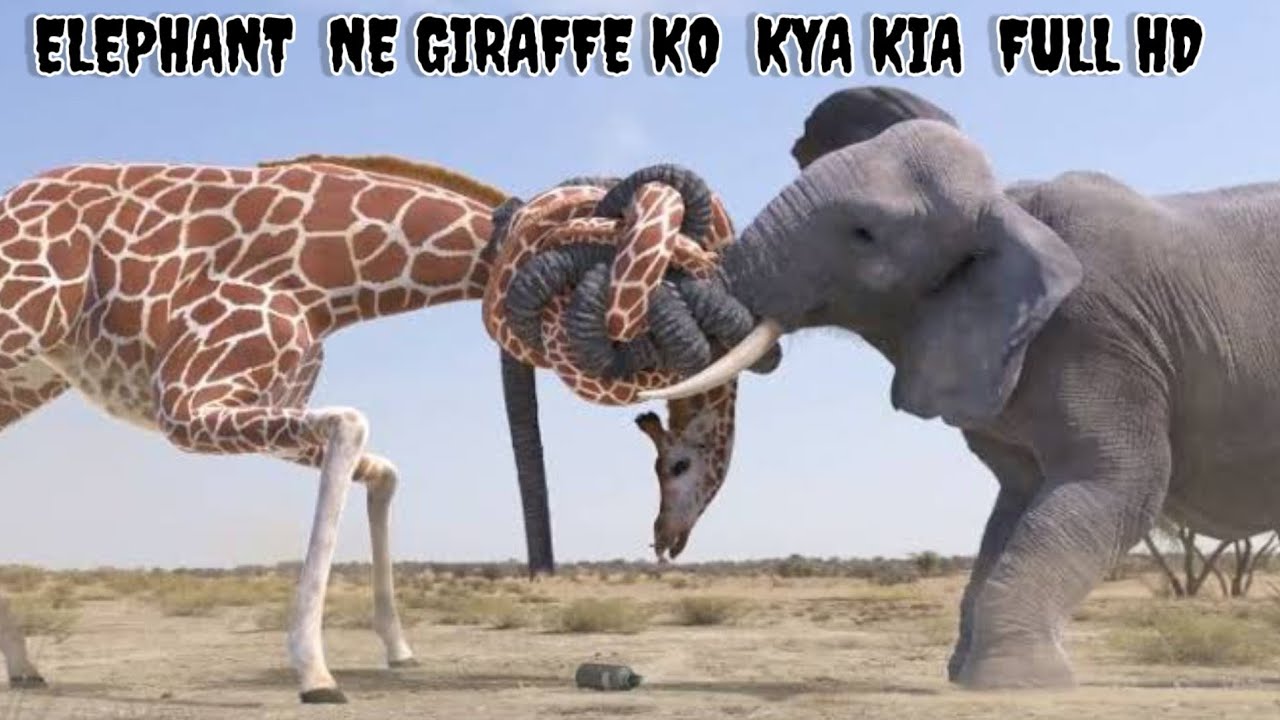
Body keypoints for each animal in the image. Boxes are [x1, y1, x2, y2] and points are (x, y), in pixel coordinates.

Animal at [0, 155, 740, 702]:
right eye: (654, 277)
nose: (669, 534)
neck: (333, 278)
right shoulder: (186, 403)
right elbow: (353, 427)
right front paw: (316, 674)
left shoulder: (258, 399)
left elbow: (380, 469)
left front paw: (398, 649)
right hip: (23, 333)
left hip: (29, 378)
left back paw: (26, 666)